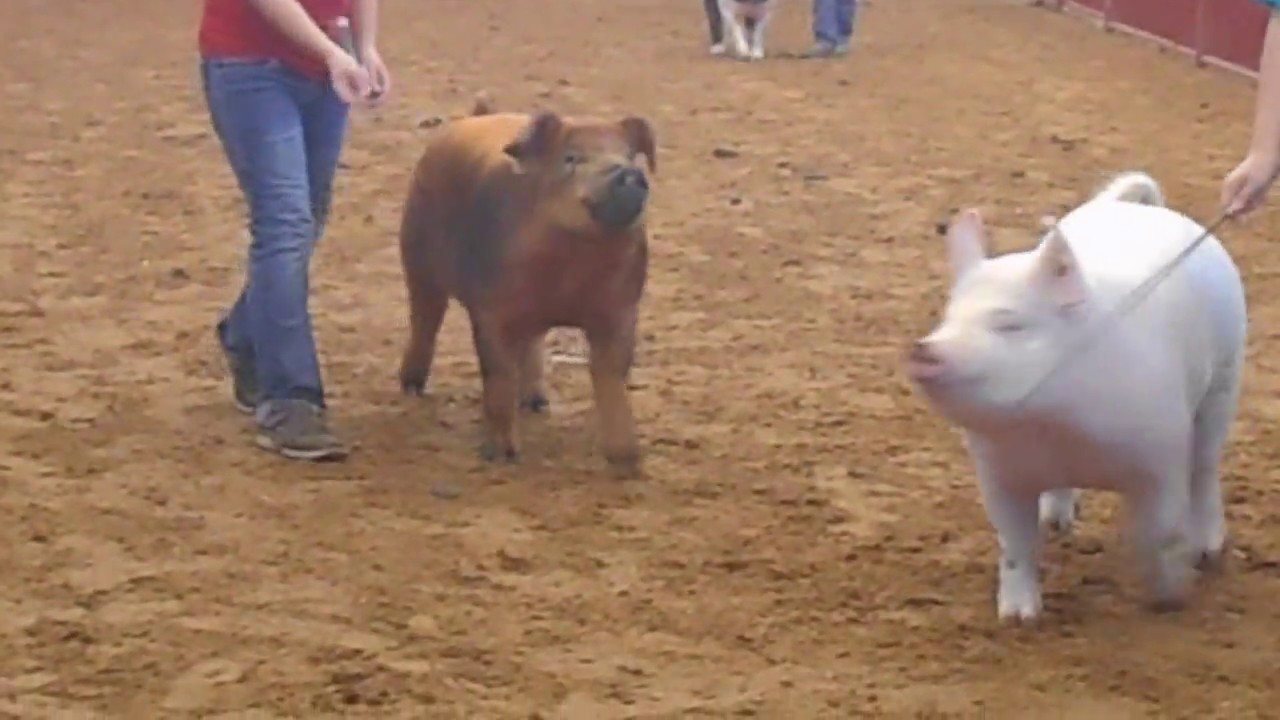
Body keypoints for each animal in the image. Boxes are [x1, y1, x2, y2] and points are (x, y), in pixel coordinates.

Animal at [396, 96, 656, 474]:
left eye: (627, 155)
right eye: (571, 158)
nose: (629, 174)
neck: (570, 272)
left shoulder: (621, 309)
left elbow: (610, 375)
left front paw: (627, 463)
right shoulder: (490, 309)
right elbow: (498, 375)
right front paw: (501, 455)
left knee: (531, 343)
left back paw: (536, 403)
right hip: (415, 255)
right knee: (425, 318)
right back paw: (411, 387)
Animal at [905, 171, 1247, 622]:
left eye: (1010, 324)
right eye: (947, 317)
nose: (922, 349)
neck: (1056, 431)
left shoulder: (1162, 455)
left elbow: (1161, 531)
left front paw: (1169, 597)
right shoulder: (998, 474)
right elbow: (1014, 543)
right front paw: (1017, 619)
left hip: (1224, 378)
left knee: (1205, 469)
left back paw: (1209, 550)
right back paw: (1057, 522)